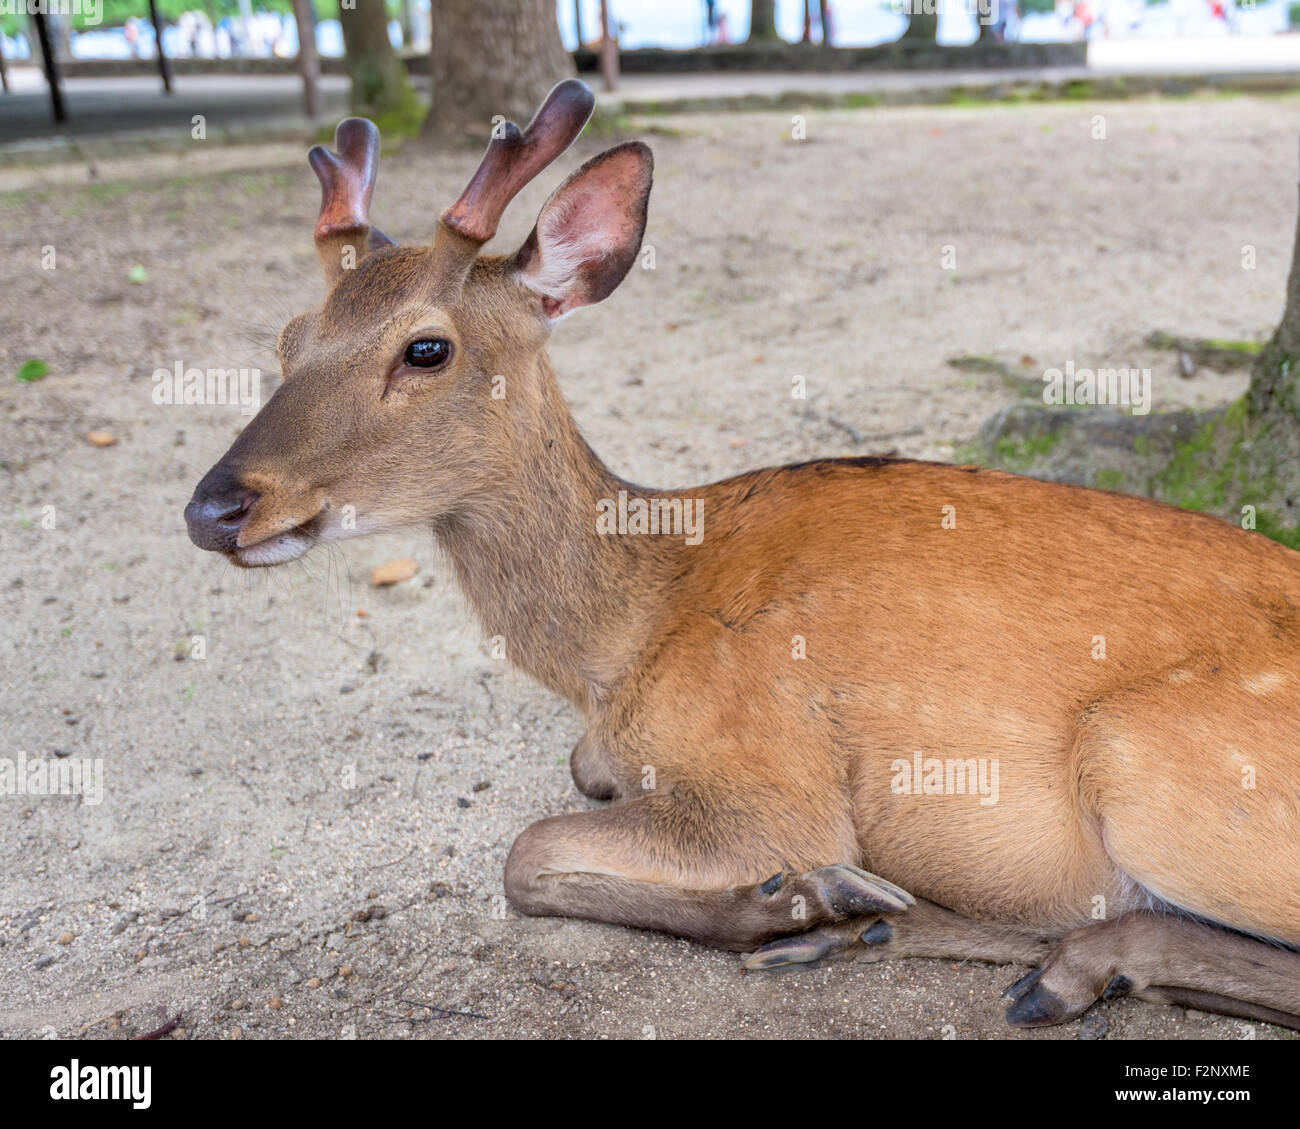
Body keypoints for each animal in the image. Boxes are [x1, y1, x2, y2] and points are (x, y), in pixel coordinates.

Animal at [185, 79, 1300, 1032]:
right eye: (287, 340)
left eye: (426, 347)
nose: (214, 506)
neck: (625, 639)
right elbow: (569, 793)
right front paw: (821, 907)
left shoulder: (768, 773)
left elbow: (524, 852)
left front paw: (805, 894)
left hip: (1145, 770)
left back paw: (1040, 955)